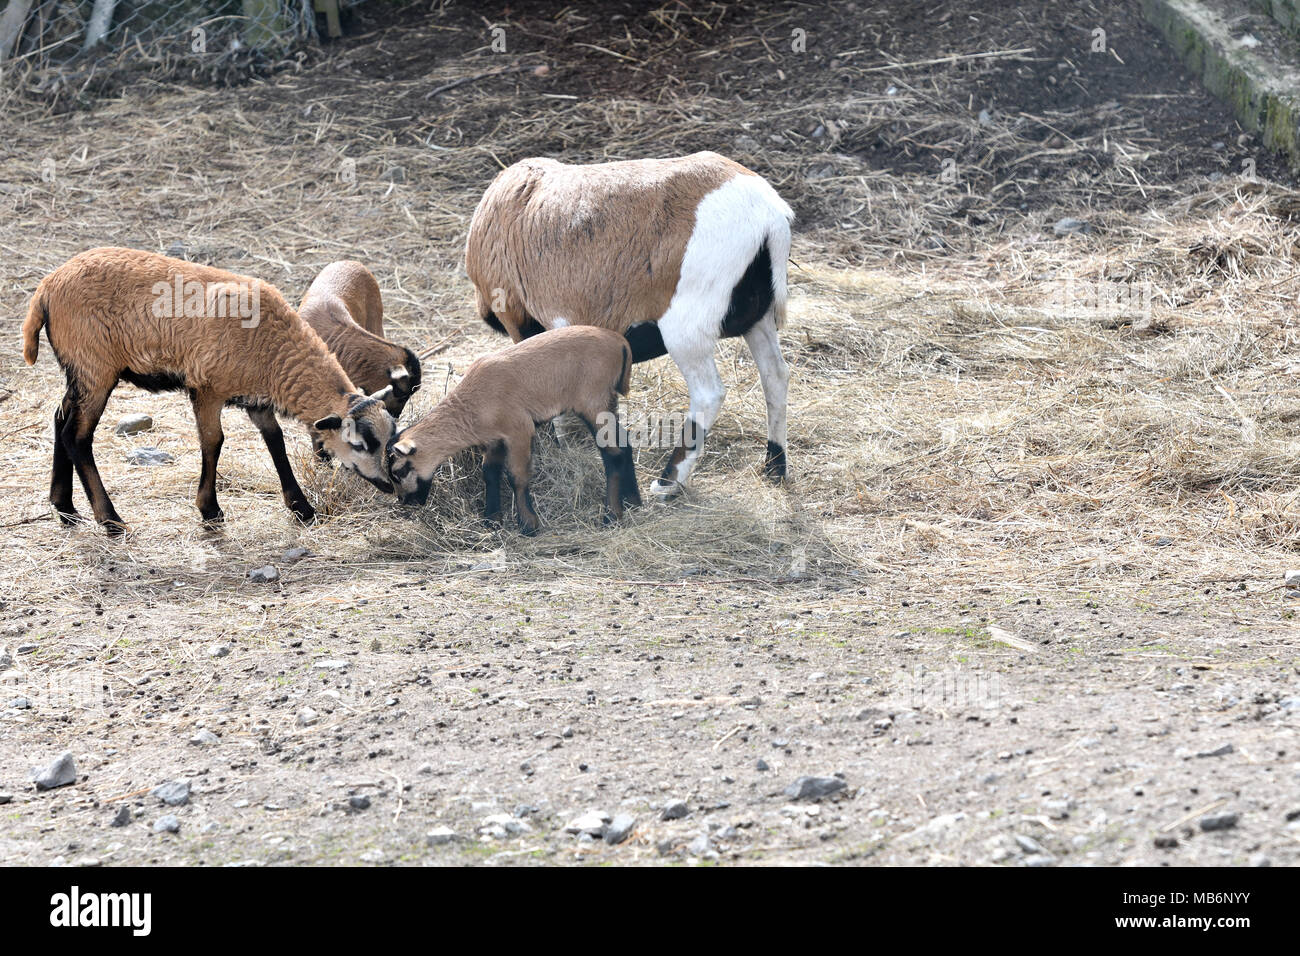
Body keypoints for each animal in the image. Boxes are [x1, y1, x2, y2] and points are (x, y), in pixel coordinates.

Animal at [21, 247, 398, 534]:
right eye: (358, 444)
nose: (390, 485)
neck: (274, 349)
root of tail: (46, 289)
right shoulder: (206, 388)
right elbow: (213, 442)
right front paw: (210, 510)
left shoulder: (255, 397)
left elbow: (274, 441)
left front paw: (301, 507)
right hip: (95, 367)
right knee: (77, 436)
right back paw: (110, 519)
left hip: (79, 370)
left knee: (60, 419)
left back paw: (65, 507)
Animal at [388, 326, 640, 534]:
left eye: (400, 471)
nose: (405, 501)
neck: (470, 405)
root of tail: (620, 343)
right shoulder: (494, 440)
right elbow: (490, 473)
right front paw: (492, 520)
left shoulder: (519, 430)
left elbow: (516, 476)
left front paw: (528, 525)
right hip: (607, 403)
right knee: (625, 444)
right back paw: (634, 501)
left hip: (593, 401)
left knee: (613, 453)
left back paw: (612, 515)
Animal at [465, 150, 793, 497]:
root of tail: (769, 216)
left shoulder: (521, 321)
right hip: (758, 319)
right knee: (775, 375)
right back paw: (774, 465)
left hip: (685, 332)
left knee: (709, 393)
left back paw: (668, 482)